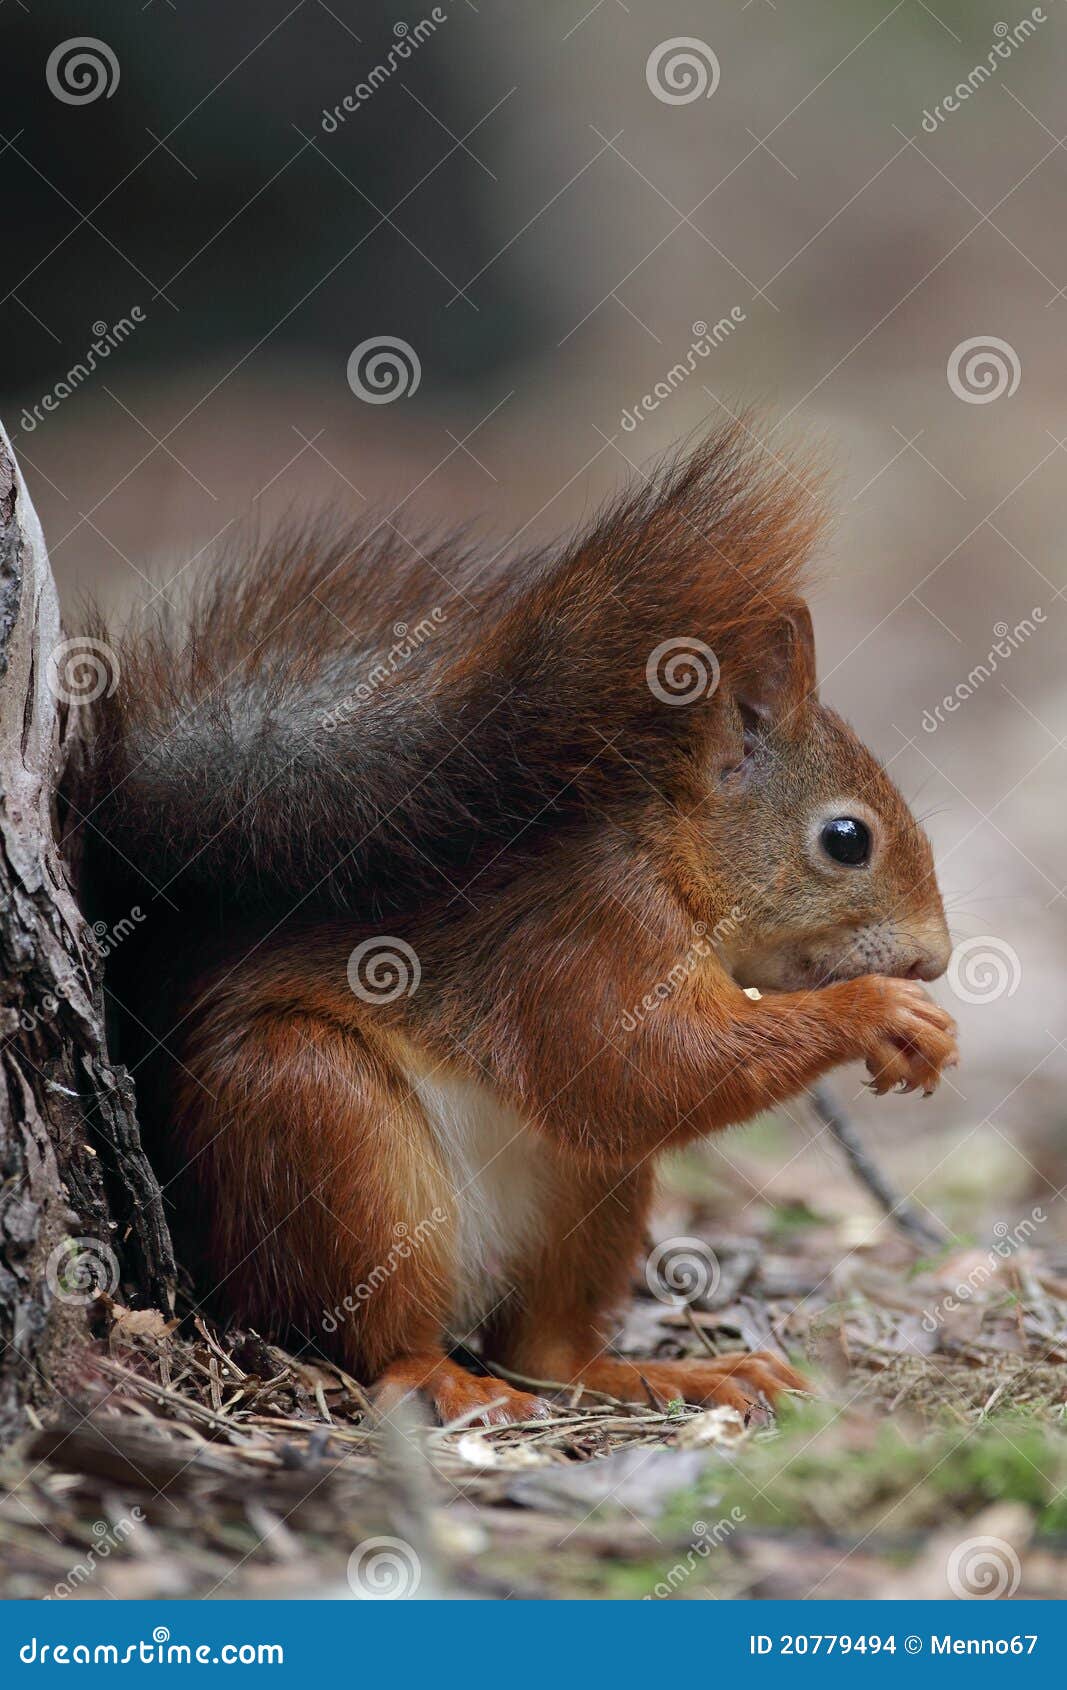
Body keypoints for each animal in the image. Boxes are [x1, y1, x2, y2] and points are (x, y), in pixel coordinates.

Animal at [72, 418, 958, 1425]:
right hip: (314, 1118)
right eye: (846, 839)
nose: (935, 959)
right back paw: (441, 1376)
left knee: (544, 1346)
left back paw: (669, 1374)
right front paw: (877, 1013)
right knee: (367, 1334)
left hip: (587, 1196)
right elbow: (634, 1068)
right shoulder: (580, 933)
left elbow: (635, 1088)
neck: (665, 851)